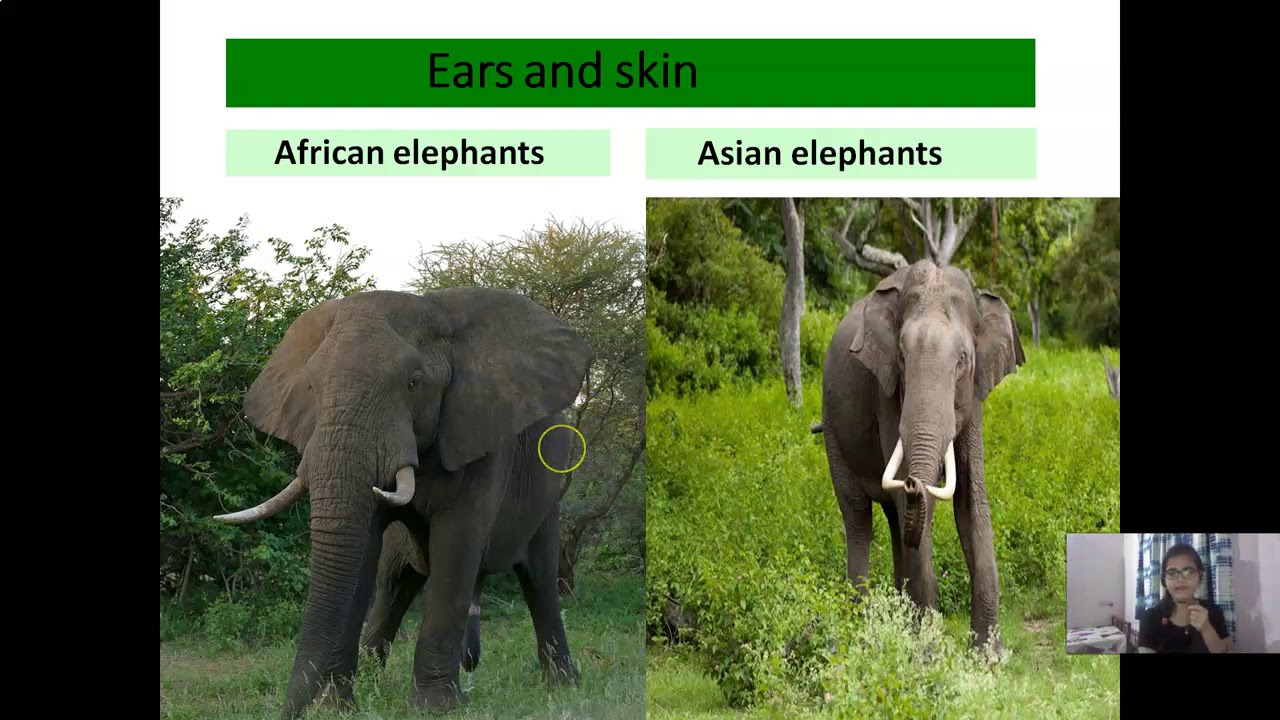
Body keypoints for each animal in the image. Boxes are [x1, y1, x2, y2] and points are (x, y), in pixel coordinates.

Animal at [212, 287, 592, 718]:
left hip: (548, 494)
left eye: (415, 382)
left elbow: (456, 547)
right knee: (394, 584)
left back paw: (562, 687)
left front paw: (436, 708)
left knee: (539, 579)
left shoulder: (479, 435)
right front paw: (337, 708)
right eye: (311, 388)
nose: (289, 713)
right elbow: (362, 554)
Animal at [814, 259, 1023, 655]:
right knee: (859, 517)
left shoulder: (973, 397)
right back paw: (863, 628)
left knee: (895, 521)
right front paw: (927, 654)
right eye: (900, 356)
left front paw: (990, 657)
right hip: (832, 429)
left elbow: (971, 499)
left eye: (963, 360)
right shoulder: (885, 391)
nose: (913, 481)